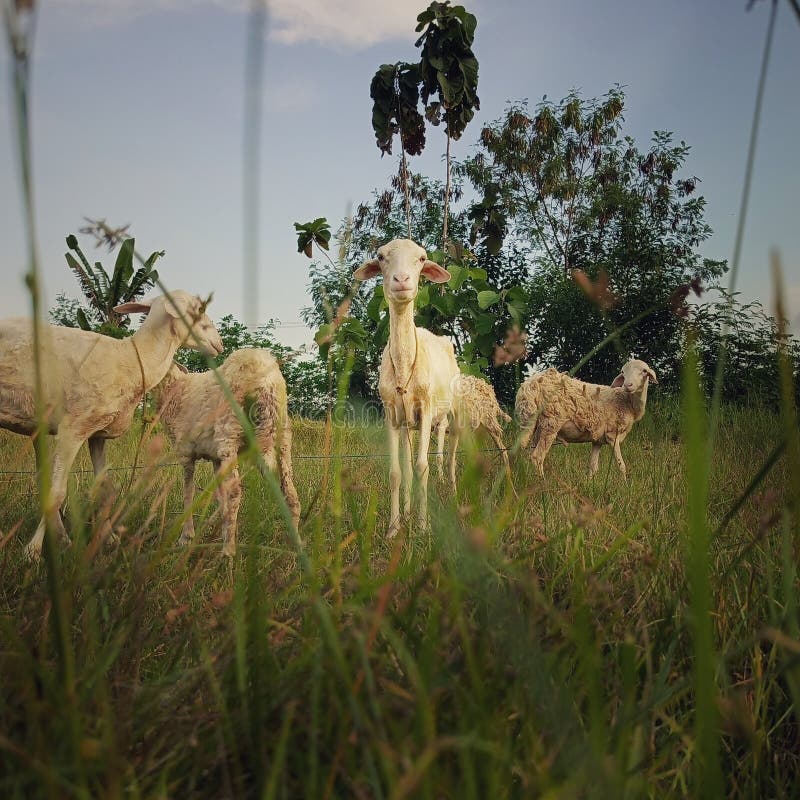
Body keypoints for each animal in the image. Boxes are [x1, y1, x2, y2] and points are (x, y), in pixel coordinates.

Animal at [0, 290, 224, 559]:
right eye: (199, 309)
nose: (220, 343)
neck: (132, 358)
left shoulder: (98, 433)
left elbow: (103, 491)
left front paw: (108, 540)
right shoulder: (73, 428)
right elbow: (56, 493)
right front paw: (32, 551)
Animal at [152, 348, 300, 557]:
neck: (173, 389)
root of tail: (265, 381)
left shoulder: (186, 453)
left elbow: (188, 493)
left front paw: (185, 538)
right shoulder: (215, 458)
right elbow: (220, 497)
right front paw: (221, 529)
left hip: (229, 432)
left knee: (235, 492)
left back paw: (228, 551)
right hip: (282, 436)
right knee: (290, 492)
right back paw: (296, 547)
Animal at [354, 239, 461, 537]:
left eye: (422, 258)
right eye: (381, 257)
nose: (401, 280)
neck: (404, 366)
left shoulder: (425, 409)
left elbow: (423, 467)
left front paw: (423, 527)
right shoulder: (392, 413)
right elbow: (397, 472)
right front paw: (395, 527)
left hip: (453, 412)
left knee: (449, 457)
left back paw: (453, 491)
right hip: (407, 424)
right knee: (409, 463)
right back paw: (408, 509)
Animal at [515, 358, 657, 478]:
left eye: (644, 371)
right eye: (623, 372)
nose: (628, 385)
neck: (627, 402)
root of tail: (529, 387)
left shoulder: (597, 440)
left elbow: (593, 467)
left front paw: (590, 484)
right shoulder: (613, 435)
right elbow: (621, 465)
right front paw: (624, 485)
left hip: (532, 423)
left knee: (524, 452)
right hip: (551, 422)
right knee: (537, 457)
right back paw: (543, 484)